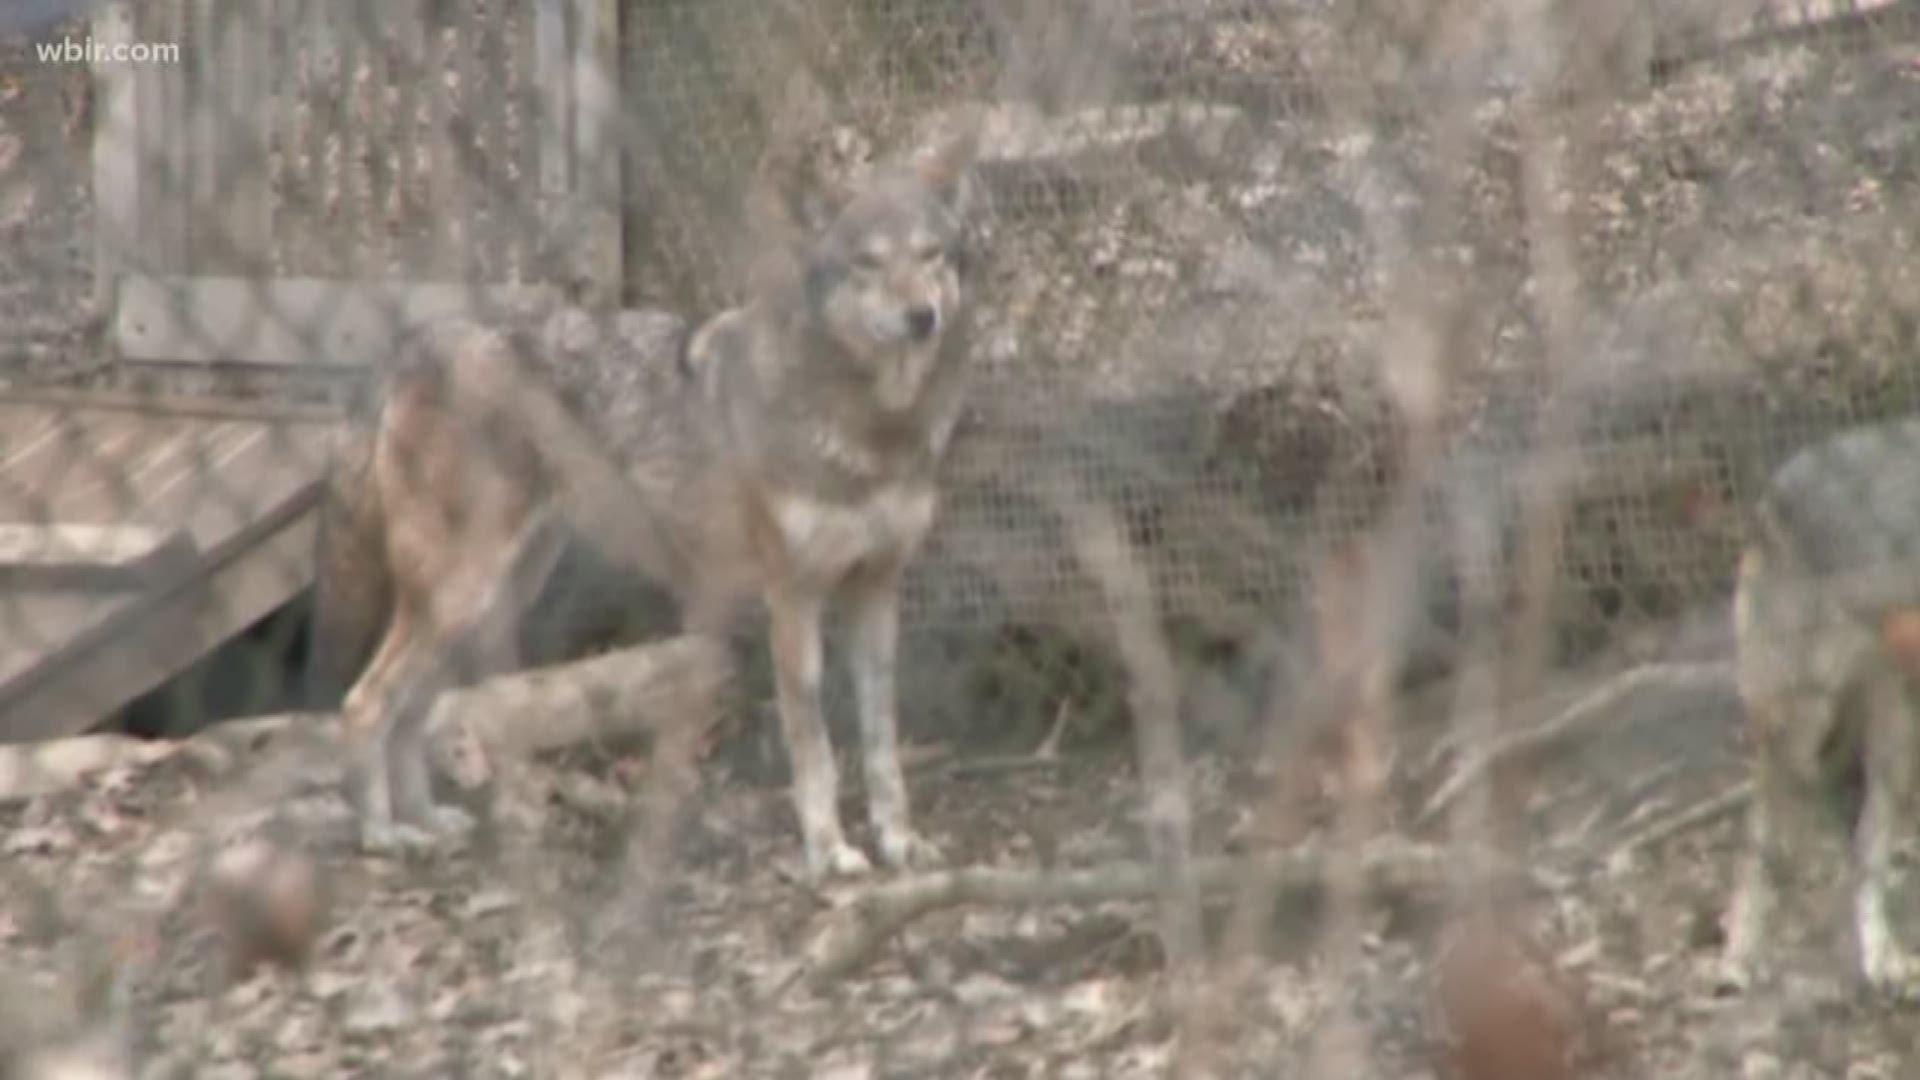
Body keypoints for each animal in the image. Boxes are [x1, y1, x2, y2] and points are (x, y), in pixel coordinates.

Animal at [314, 121, 981, 878]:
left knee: (413, 712)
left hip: (487, 599)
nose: (922, 316)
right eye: (867, 264)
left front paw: (898, 840)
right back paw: (382, 835)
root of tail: (414, 341)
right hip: (458, 596)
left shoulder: (876, 591)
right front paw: (829, 851)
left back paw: (427, 821)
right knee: (364, 704)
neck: (872, 430)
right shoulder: (793, 600)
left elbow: (880, 743)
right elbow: (813, 747)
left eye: (930, 255)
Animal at [1719, 415, 1920, 998]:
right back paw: (1740, 956)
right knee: (1759, 836)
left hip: (1893, 734)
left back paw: (1882, 959)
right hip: (1802, 722)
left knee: (1862, 847)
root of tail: (1775, 489)